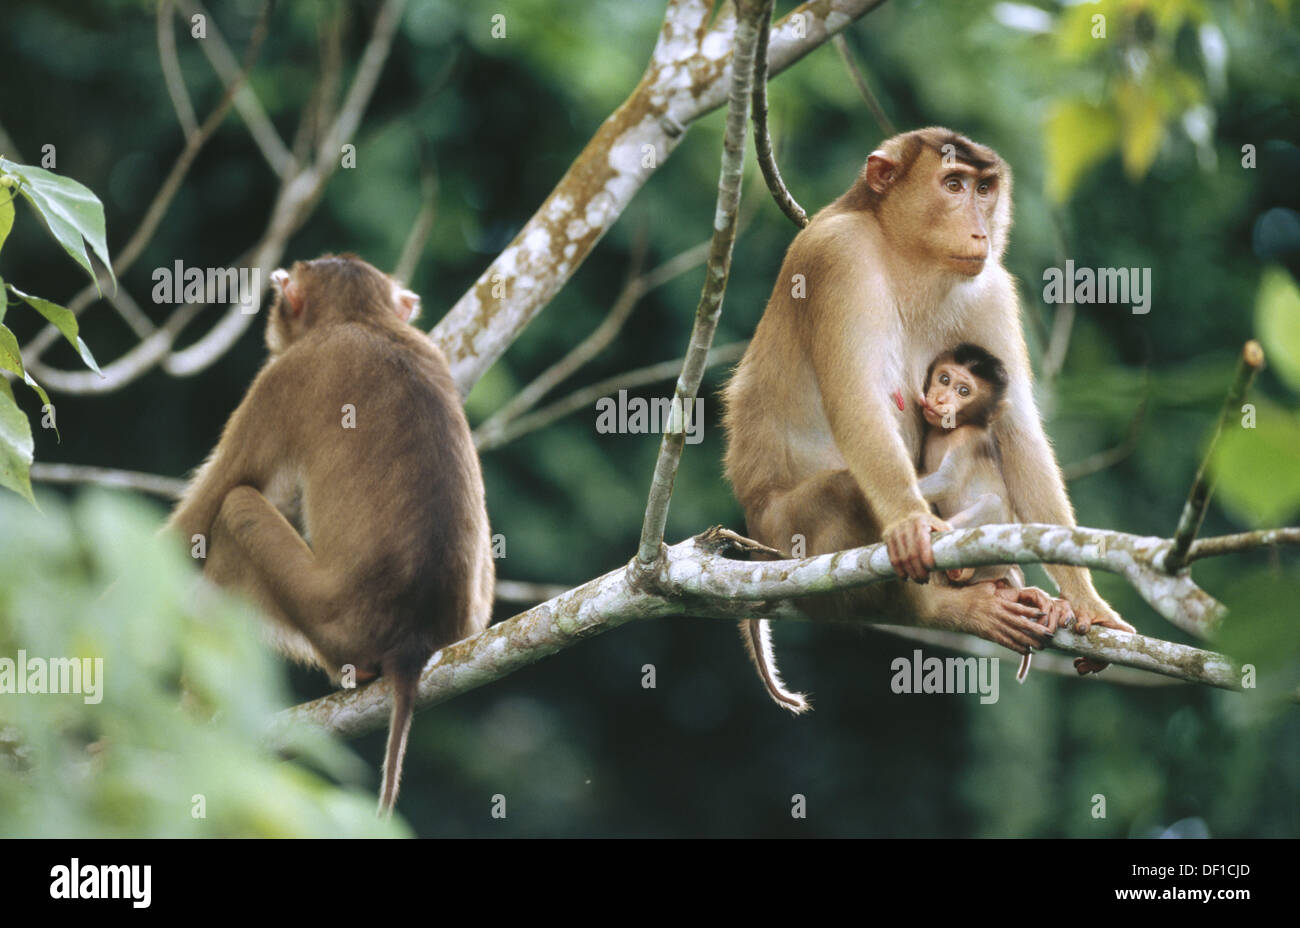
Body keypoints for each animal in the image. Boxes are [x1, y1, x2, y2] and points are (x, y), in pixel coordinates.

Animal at [167, 254, 495, 814]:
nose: (273, 319)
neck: (364, 319)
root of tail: (413, 642)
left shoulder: (283, 379)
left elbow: (203, 513)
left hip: (332, 622)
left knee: (235, 512)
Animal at [722, 127, 1133, 713]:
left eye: (984, 189)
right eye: (953, 184)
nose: (980, 229)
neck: (902, 254)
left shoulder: (991, 289)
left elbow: (1015, 431)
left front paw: (1087, 601)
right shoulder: (837, 257)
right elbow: (858, 397)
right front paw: (910, 523)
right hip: (788, 534)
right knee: (847, 491)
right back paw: (946, 607)